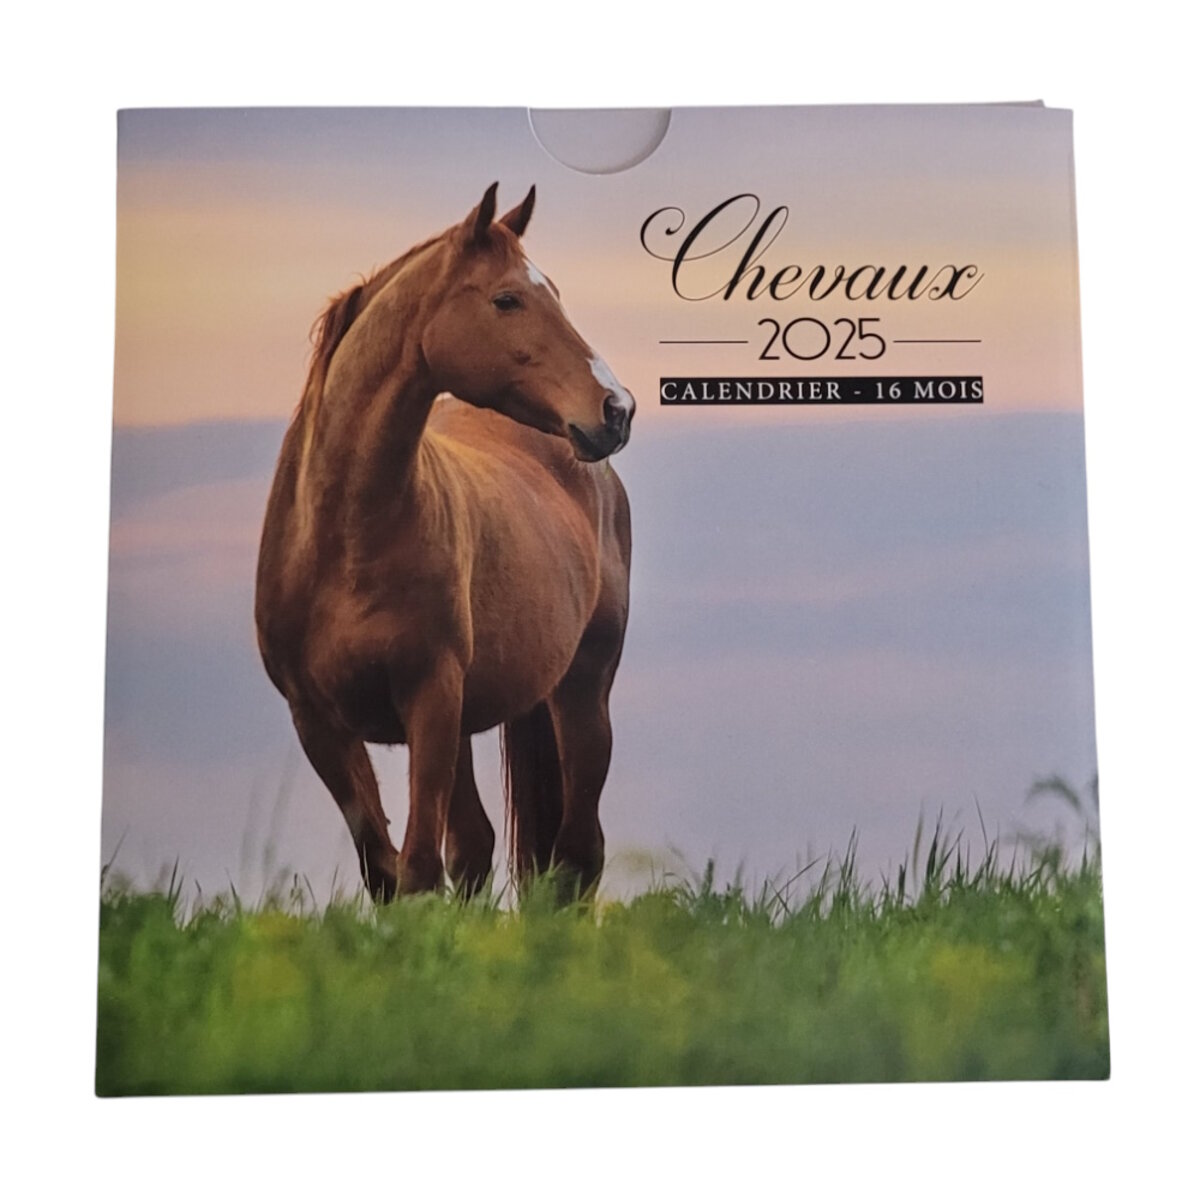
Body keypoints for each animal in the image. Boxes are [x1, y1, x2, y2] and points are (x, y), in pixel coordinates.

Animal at [255, 183, 634, 902]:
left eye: (555, 292)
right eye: (507, 299)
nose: (616, 408)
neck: (344, 545)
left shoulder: (430, 702)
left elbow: (421, 867)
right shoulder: (318, 723)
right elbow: (388, 870)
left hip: (582, 694)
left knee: (579, 855)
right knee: (481, 848)